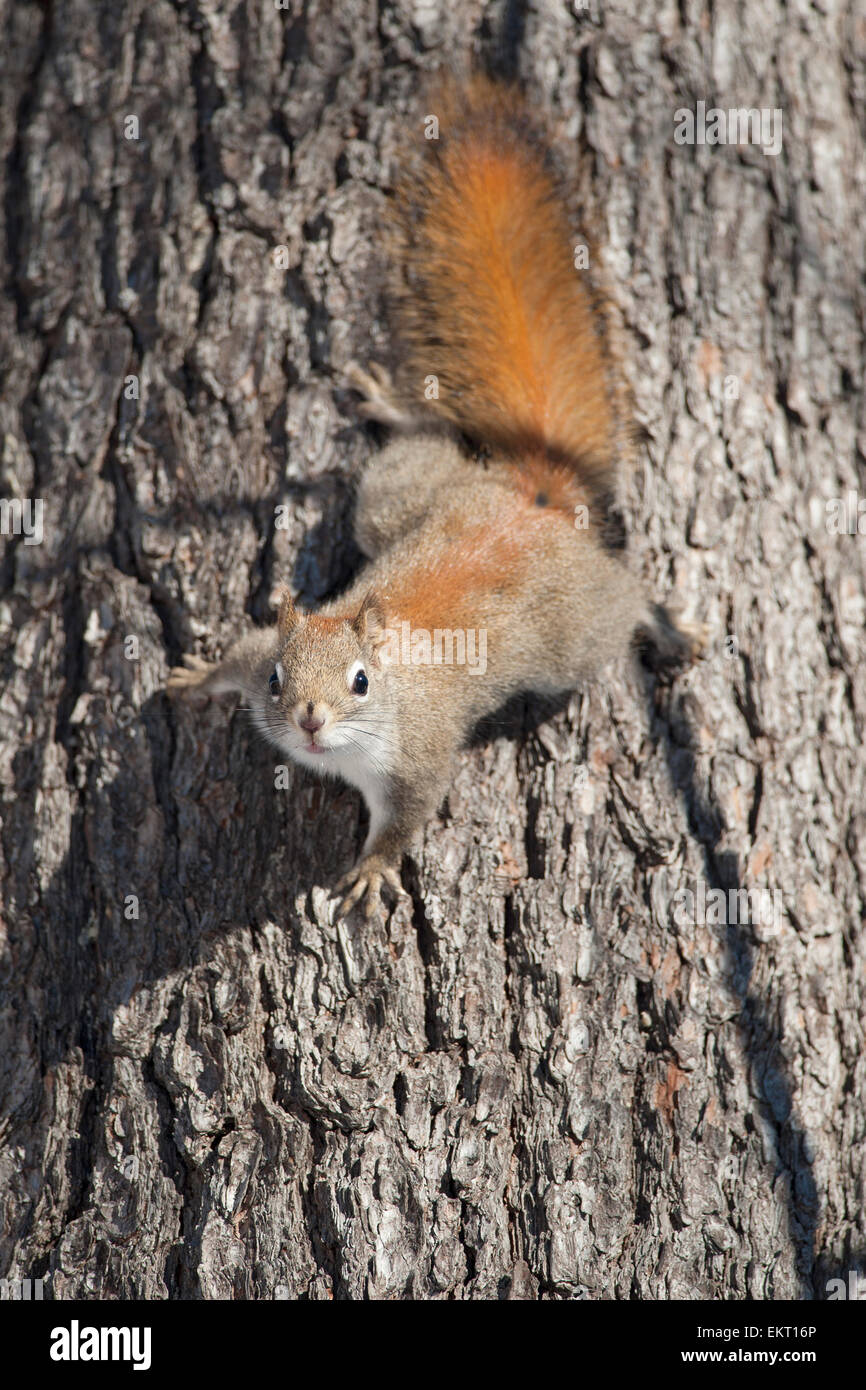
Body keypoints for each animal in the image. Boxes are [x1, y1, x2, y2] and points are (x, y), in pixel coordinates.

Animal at [167, 76, 703, 917]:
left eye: (360, 681)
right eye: (279, 681)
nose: (310, 721)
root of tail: (527, 498)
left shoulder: (418, 755)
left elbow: (407, 817)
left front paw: (374, 870)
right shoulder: (261, 654)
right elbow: (236, 656)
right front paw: (196, 676)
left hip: (575, 637)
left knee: (626, 600)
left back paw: (667, 625)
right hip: (394, 500)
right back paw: (393, 407)